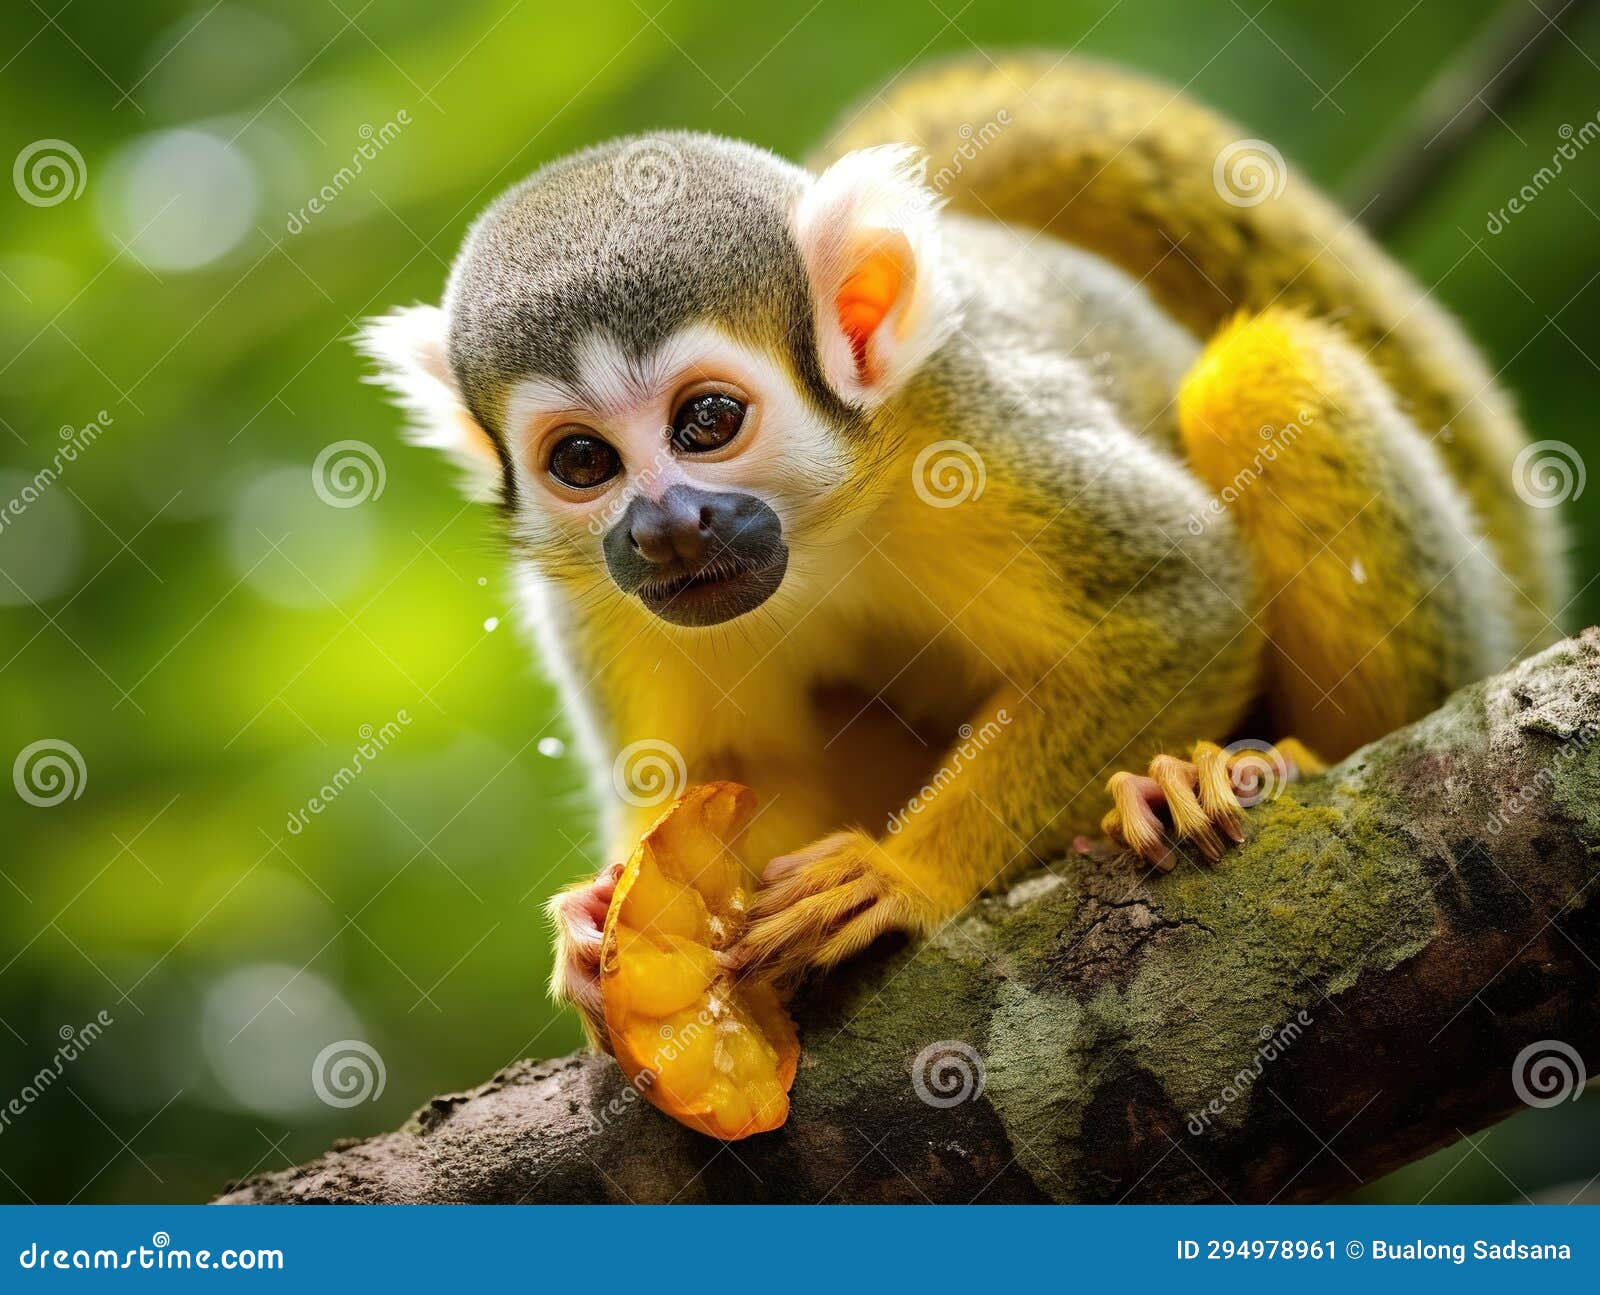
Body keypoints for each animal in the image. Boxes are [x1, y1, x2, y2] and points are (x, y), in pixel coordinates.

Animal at [361, 52, 1567, 1043]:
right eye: (582, 462)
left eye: (706, 420)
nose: (665, 528)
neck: (822, 526)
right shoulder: (592, 593)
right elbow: (720, 783)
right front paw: (594, 919)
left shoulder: (967, 423)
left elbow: (1184, 591)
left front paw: (903, 871)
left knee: (1262, 375)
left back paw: (1248, 764)